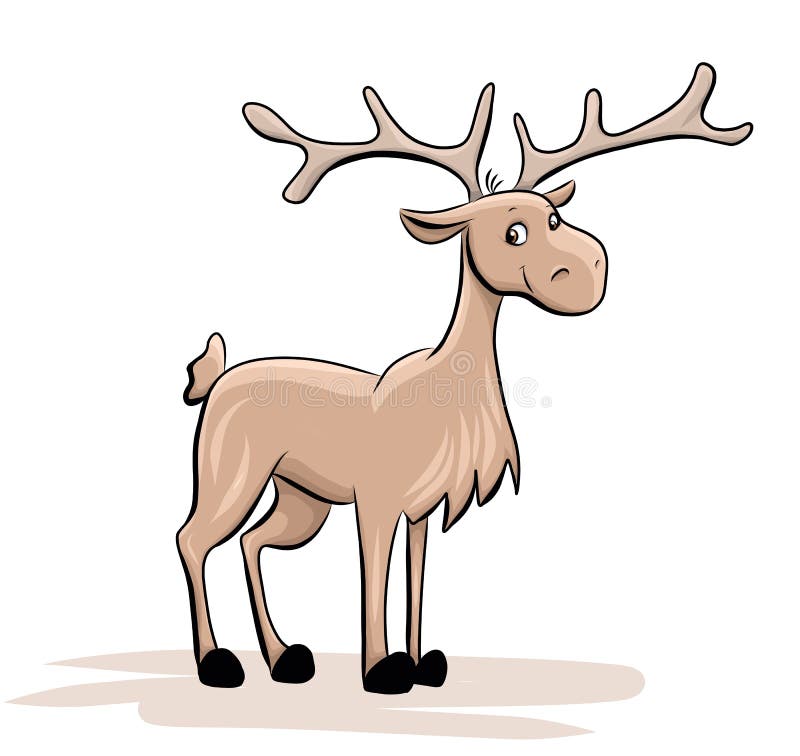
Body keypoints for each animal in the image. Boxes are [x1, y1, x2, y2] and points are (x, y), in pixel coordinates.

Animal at [176, 63, 751, 694]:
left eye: (553, 216)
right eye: (513, 233)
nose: (590, 269)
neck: (445, 396)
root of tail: (217, 379)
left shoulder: (423, 506)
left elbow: (417, 575)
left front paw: (422, 663)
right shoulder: (376, 499)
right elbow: (373, 576)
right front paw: (379, 670)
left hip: (302, 498)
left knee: (252, 541)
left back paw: (284, 657)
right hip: (233, 474)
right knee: (193, 539)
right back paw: (216, 662)